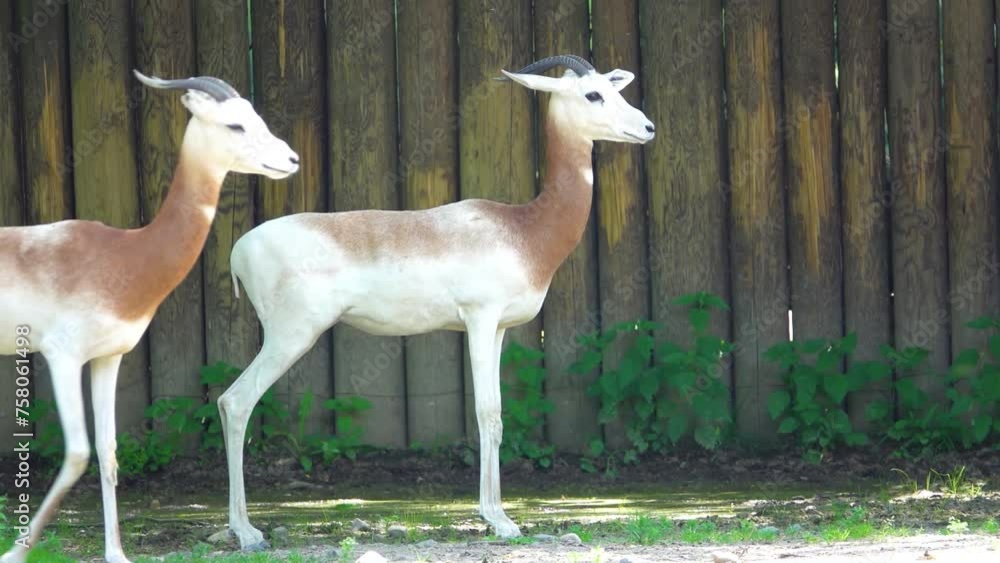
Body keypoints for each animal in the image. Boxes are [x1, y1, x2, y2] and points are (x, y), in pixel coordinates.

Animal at [0, 72, 299, 563]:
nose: (291, 159)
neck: (127, 254)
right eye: (235, 125)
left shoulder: (108, 357)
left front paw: (116, 554)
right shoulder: (61, 356)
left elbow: (107, 451)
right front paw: (14, 554)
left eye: (257, 116)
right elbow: (78, 453)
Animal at [219, 54, 655, 547]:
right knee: (235, 402)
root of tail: (239, 249)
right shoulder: (479, 319)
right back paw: (247, 532)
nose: (647, 127)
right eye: (593, 94)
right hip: (290, 336)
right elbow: (486, 413)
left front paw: (499, 514)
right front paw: (498, 519)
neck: (524, 229)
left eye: (615, 89)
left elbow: (497, 416)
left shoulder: (500, 330)